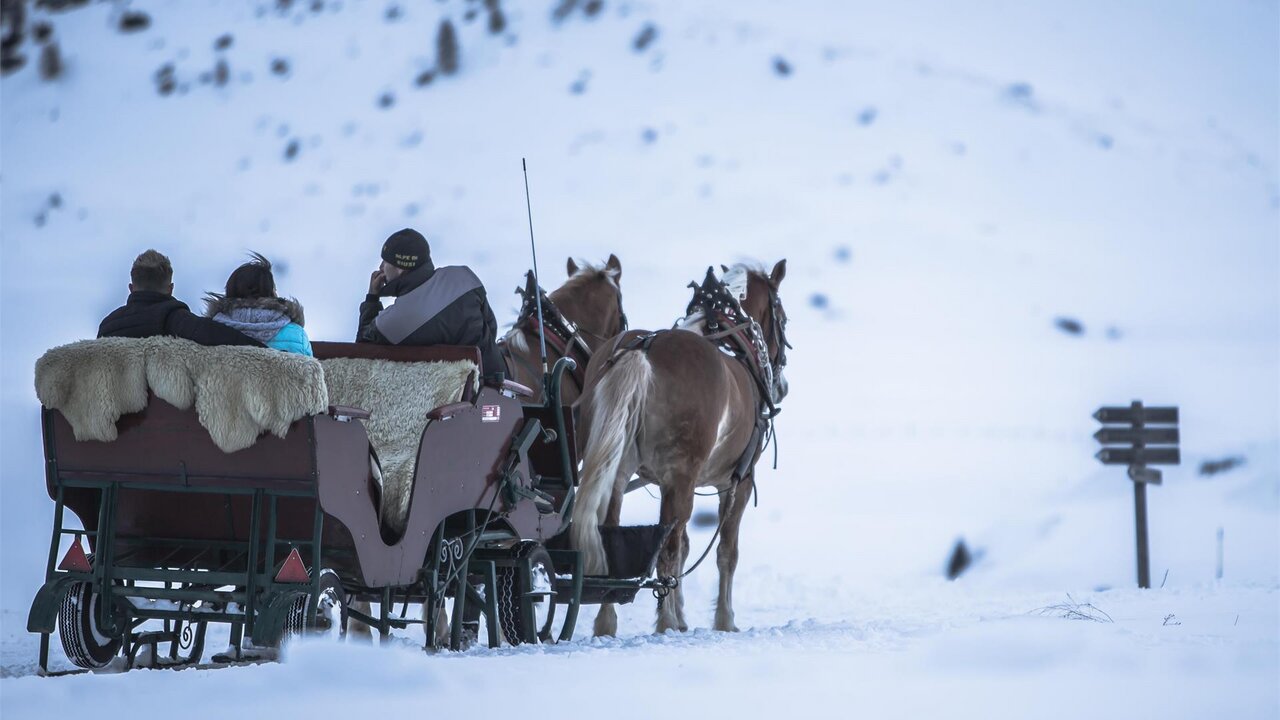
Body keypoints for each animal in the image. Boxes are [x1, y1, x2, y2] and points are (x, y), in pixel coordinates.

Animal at [570, 261, 790, 635]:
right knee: (668, 550)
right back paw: (665, 622)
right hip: (682, 475)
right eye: (784, 318)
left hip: (618, 471)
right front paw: (723, 619)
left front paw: (684, 615)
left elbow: (685, 545)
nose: (783, 386)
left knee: (613, 536)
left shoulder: (667, 480)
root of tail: (642, 351)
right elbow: (726, 552)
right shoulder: (735, 482)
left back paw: (607, 621)